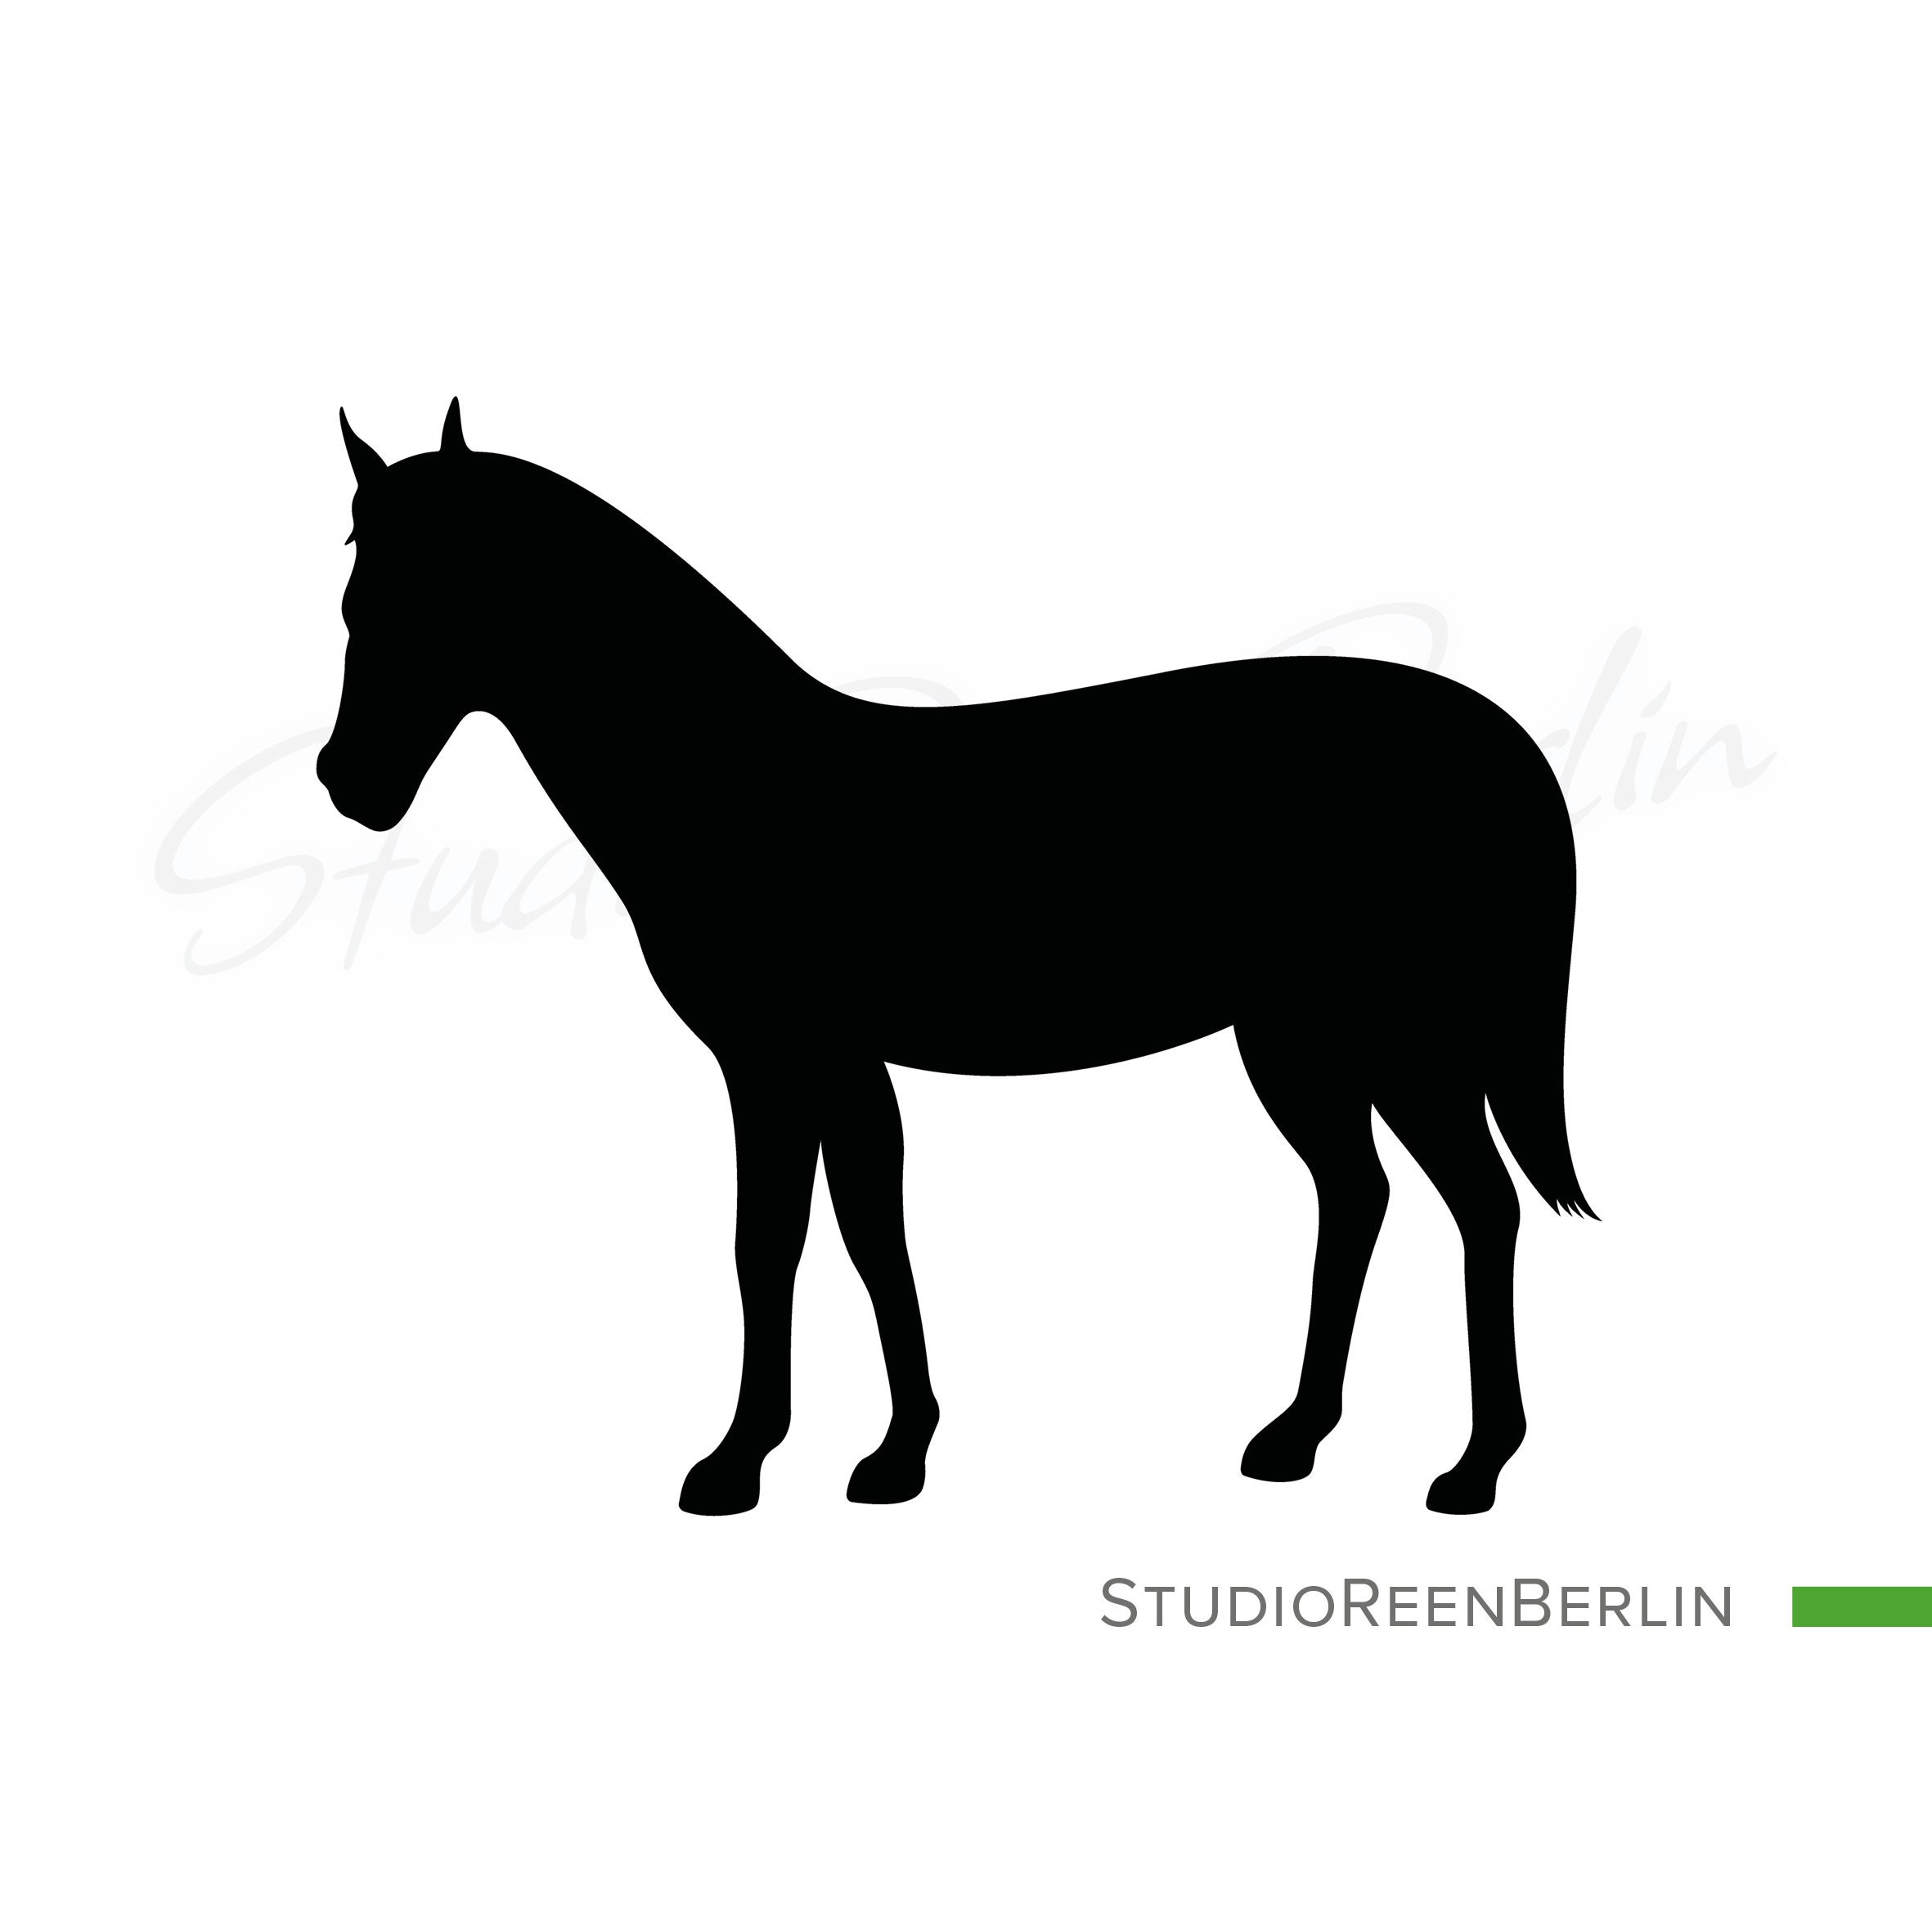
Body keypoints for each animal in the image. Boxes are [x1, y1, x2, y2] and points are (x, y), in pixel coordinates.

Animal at [318, 400, 1595, 1517]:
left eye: (441, 586)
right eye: (353, 590)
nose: (348, 783)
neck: (735, 778)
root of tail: (1492, 744)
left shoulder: (782, 1057)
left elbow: (778, 1241)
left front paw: (750, 1463)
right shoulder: (825, 1064)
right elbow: (853, 1232)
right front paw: (881, 1450)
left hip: (1402, 1040)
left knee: (1479, 1207)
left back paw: (1473, 1467)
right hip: (1302, 1039)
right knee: (1359, 1195)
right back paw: (1294, 1438)